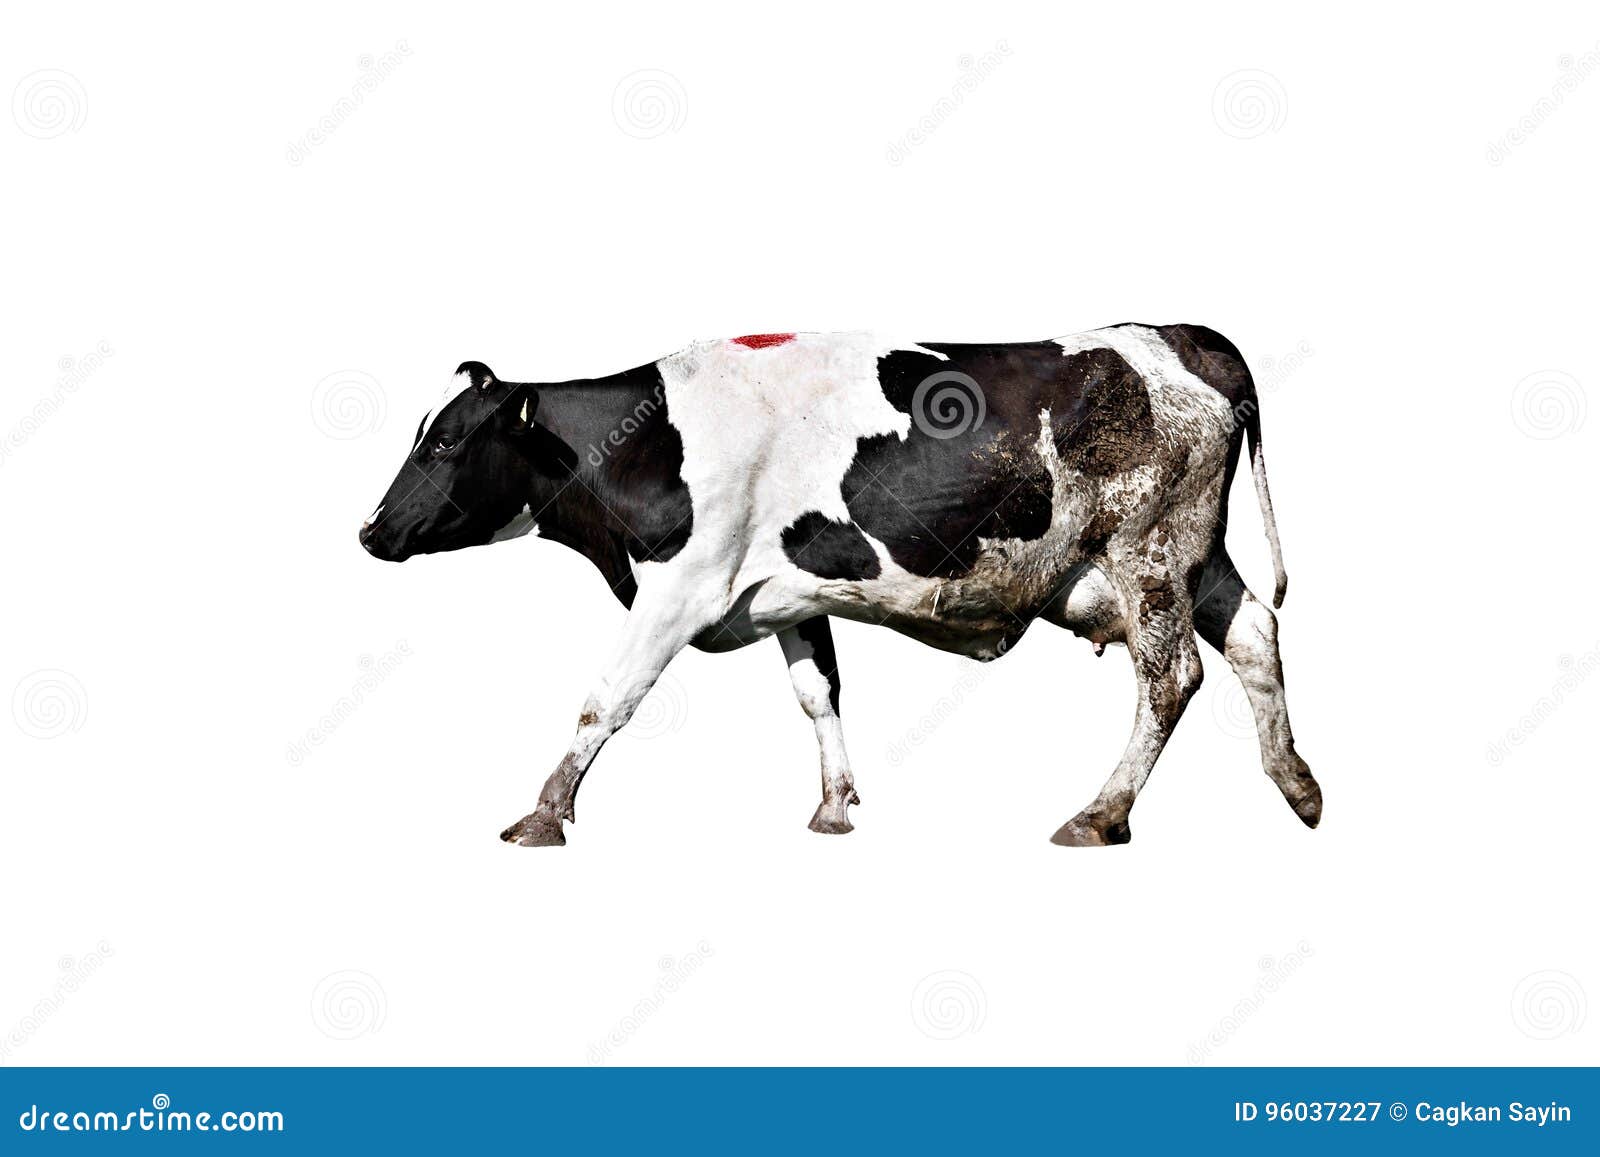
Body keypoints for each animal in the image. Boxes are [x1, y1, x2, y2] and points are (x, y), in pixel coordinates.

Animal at [359, 325, 1320, 847]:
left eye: (445, 440)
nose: (369, 532)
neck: (645, 442)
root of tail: (1172, 331)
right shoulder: (792, 593)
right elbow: (817, 693)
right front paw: (833, 804)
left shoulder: (679, 589)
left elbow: (607, 699)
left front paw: (544, 812)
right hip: (1199, 555)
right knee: (1254, 635)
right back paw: (1295, 782)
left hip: (1149, 548)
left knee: (1172, 677)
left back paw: (1100, 812)